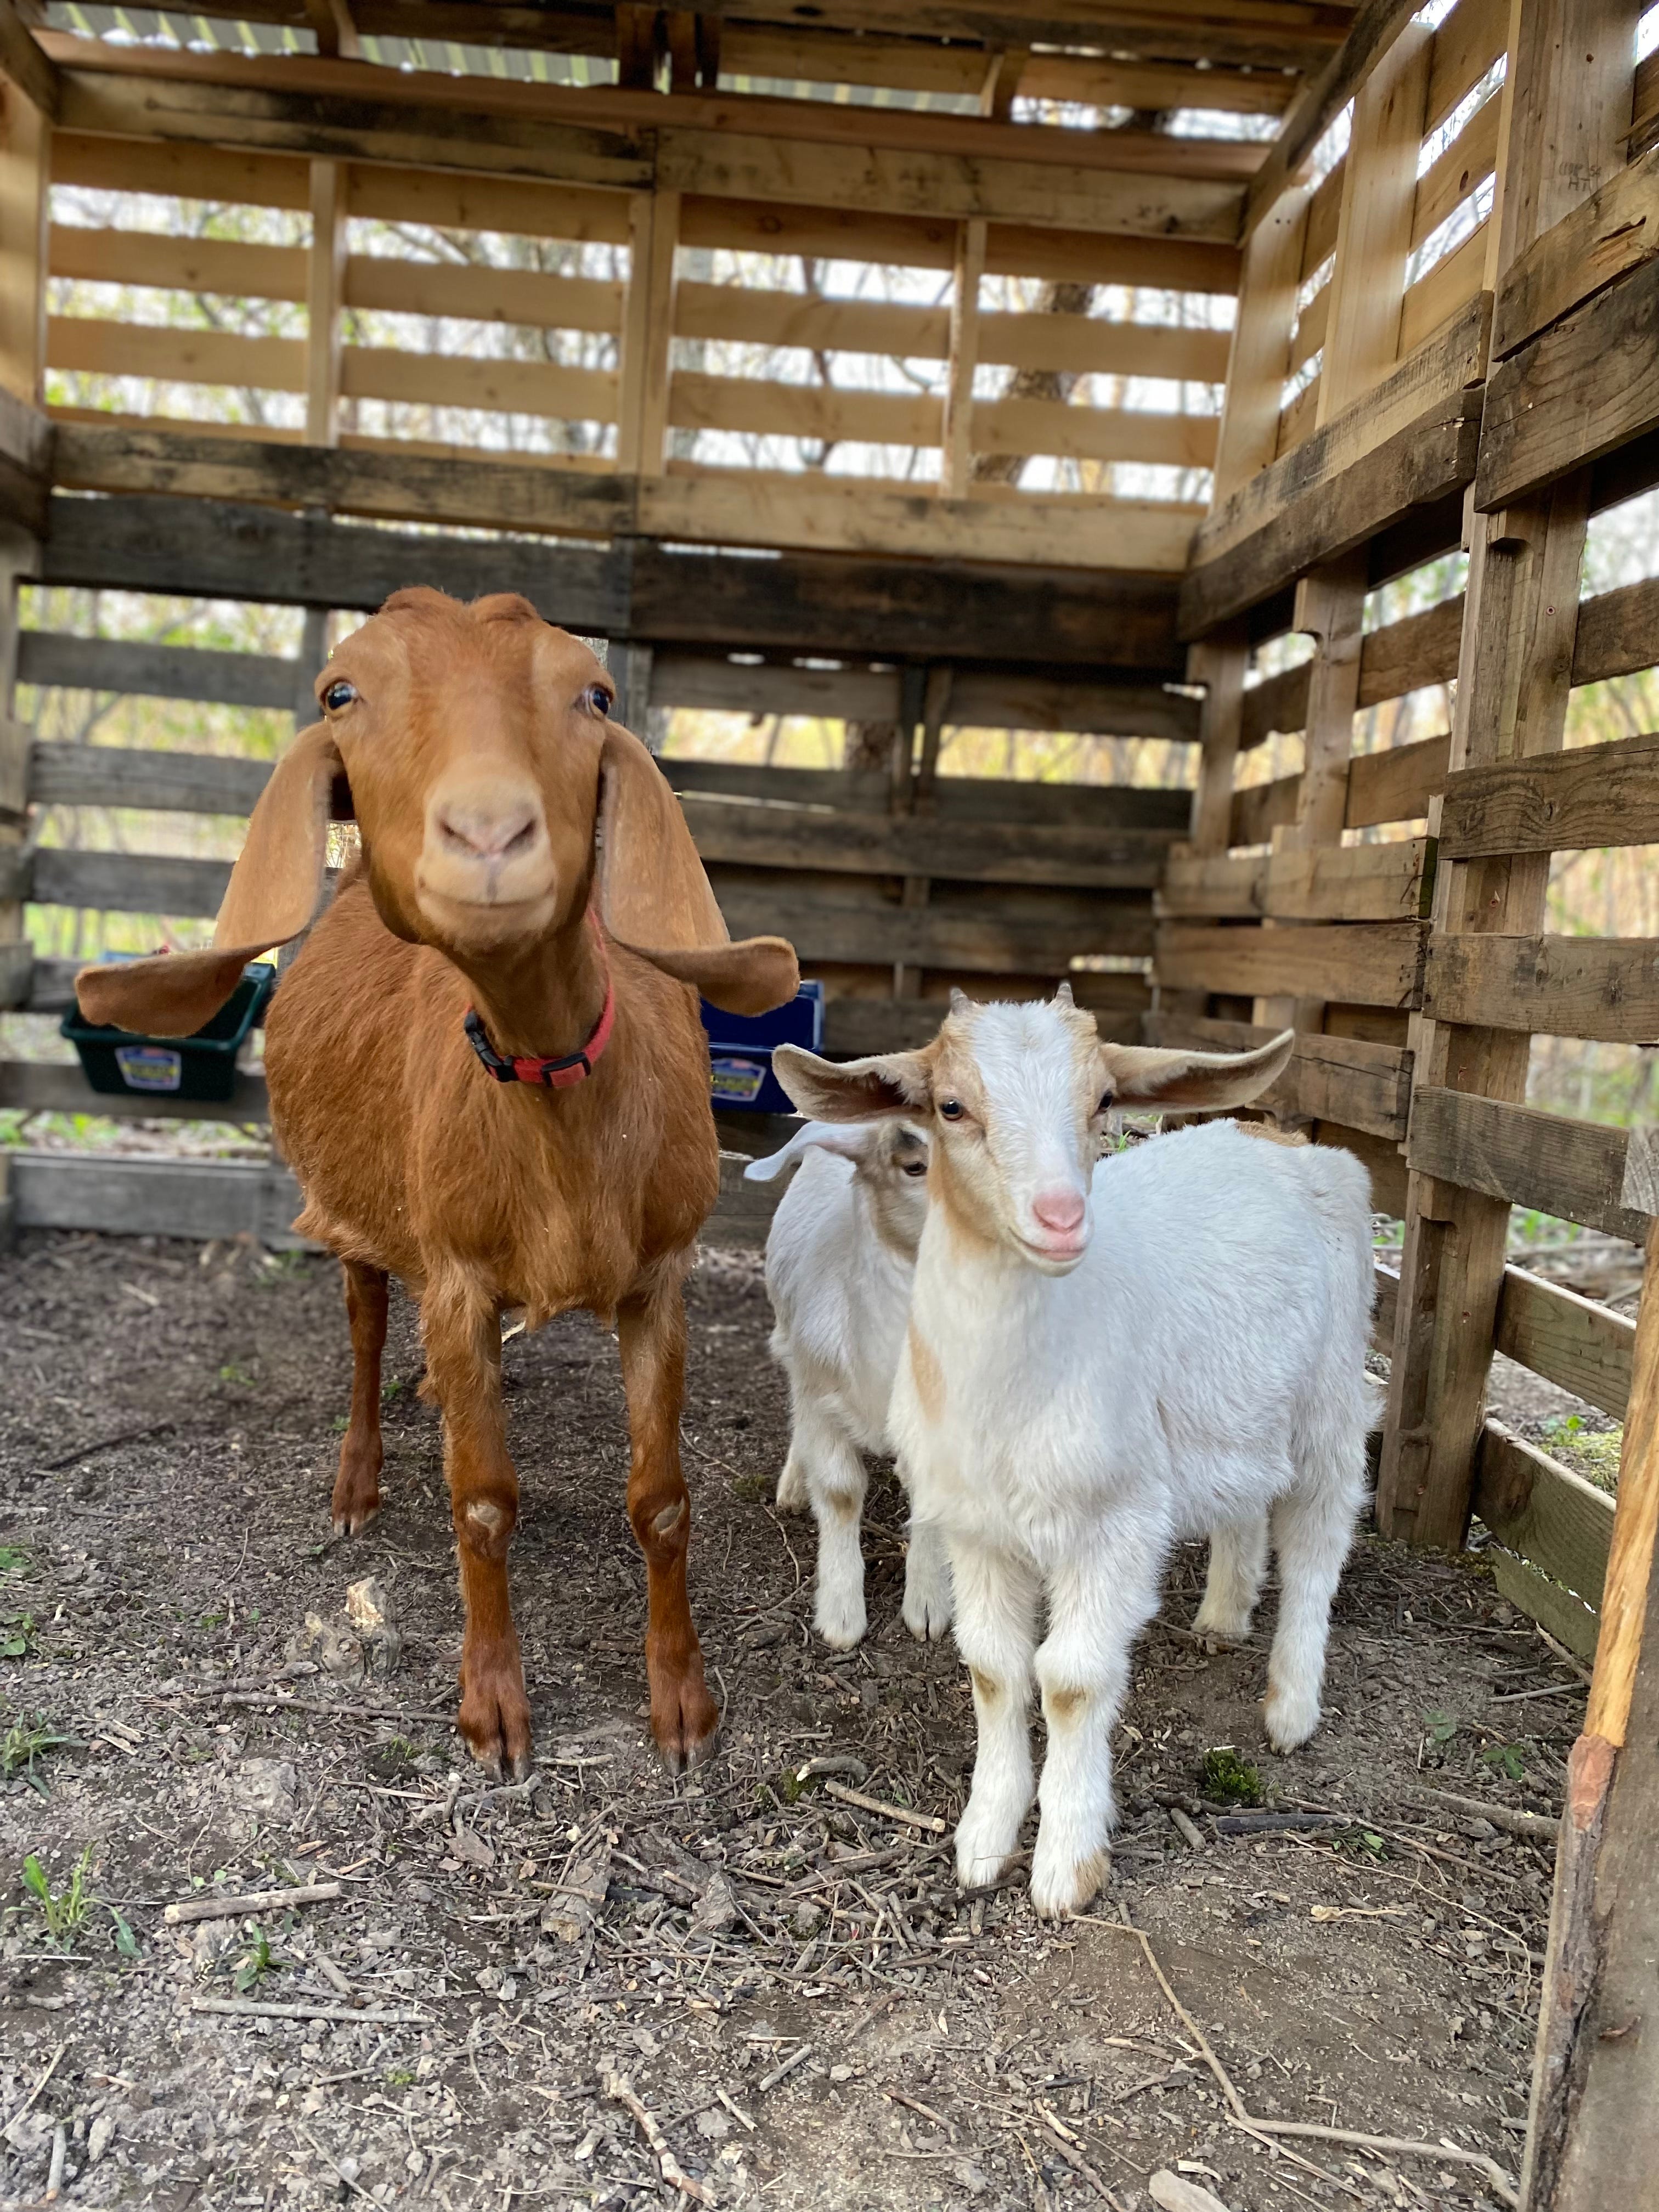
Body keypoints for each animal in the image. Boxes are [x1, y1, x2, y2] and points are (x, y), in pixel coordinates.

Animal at [76, 590, 798, 1779]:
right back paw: (358, 1478)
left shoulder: (661, 1276)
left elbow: (662, 1500)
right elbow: (483, 1504)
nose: (490, 838)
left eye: (594, 694)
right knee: (368, 1324)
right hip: (353, 1214)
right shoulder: (458, 1274)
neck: (555, 1083)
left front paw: (683, 1707)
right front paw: (494, 1710)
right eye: (340, 692)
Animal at [743, 1120, 951, 1649]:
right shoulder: (820, 1393)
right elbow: (839, 1492)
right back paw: (794, 1485)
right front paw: (841, 1618)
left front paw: (927, 1605)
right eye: (914, 1166)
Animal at [774, 989, 1372, 1918]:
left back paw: (1290, 1709)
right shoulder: (977, 1526)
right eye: (951, 1107)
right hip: (1235, 1412)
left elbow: (1070, 1679)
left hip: (1332, 1402)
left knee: (1317, 1544)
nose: (1060, 1218)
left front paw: (1065, 1863)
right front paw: (984, 1839)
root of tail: (1281, 1139)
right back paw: (1221, 1617)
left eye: (1102, 1102)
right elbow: (993, 1669)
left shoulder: (1115, 1521)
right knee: (1245, 1504)